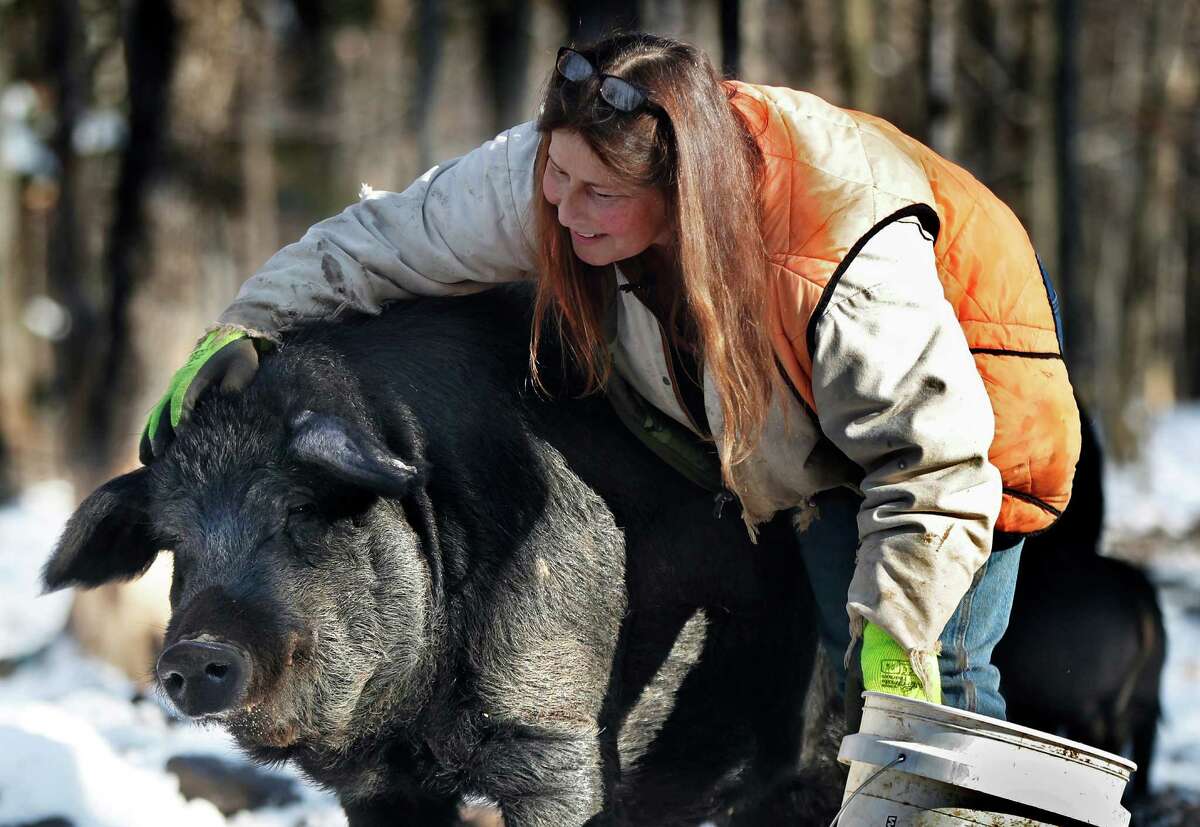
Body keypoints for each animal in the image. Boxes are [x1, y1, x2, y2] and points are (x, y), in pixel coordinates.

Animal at [43, 285, 819, 827]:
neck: (423, 724)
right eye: (176, 543)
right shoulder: (378, 785)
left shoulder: (556, 728)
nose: (195, 651)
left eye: (298, 511)